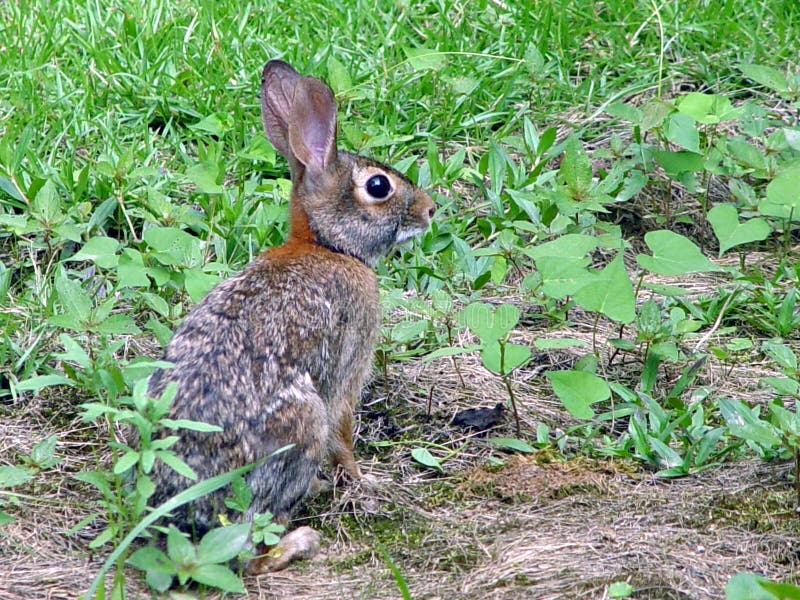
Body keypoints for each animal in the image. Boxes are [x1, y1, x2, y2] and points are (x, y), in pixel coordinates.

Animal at [146, 59, 435, 570]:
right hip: (300, 427)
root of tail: (188, 515)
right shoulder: (347, 368)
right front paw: (362, 479)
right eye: (378, 187)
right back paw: (300, 540)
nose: (431, 210)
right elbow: (343, 433)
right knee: (246, 552)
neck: (327, 245)